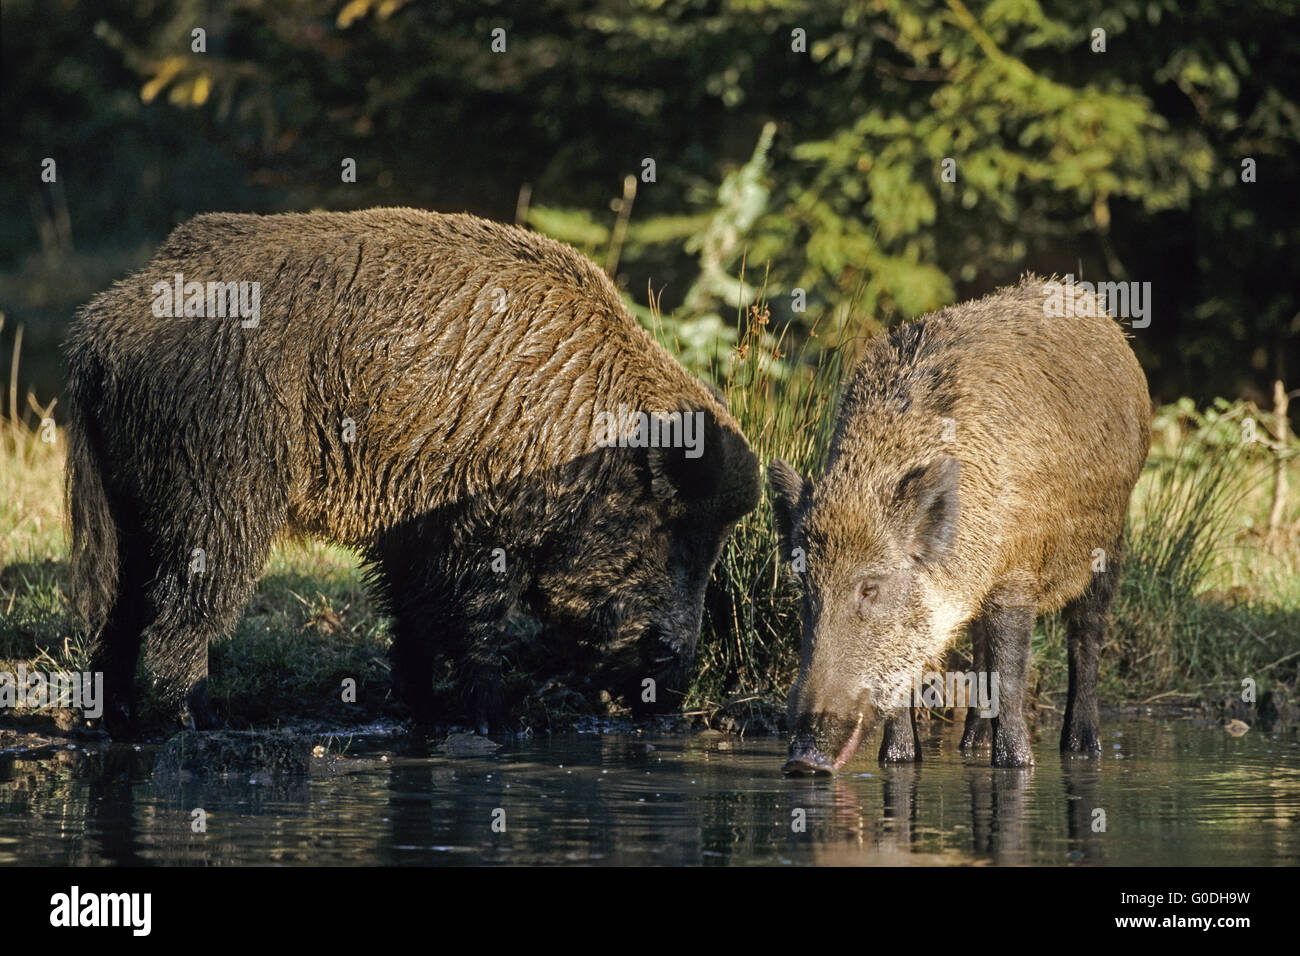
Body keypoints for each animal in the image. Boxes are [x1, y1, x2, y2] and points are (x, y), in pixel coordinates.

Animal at [64, 208, 760, 734]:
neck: (584, 438)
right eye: (676, 534)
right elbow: (471, 623)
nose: (671, 692)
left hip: (131, 503)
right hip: (219, 494)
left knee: (120, 606)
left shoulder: (412, 530)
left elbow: (411, 619)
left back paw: (116, 719)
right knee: (181, 610)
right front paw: (495, 722)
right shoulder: (478, 533)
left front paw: (422, 709)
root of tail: (99, 331)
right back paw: (196, 721)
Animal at [770, 275, 1150, 772]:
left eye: (870, 588)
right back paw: (972, 746)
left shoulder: (1015, 576)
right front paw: (899, 759)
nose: (802, 761)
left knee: (1086, 634)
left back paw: (1082, 747)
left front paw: (1018, 764)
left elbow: (1011, 672)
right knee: (979, 647)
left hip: (1112, 539)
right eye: (805, 588)